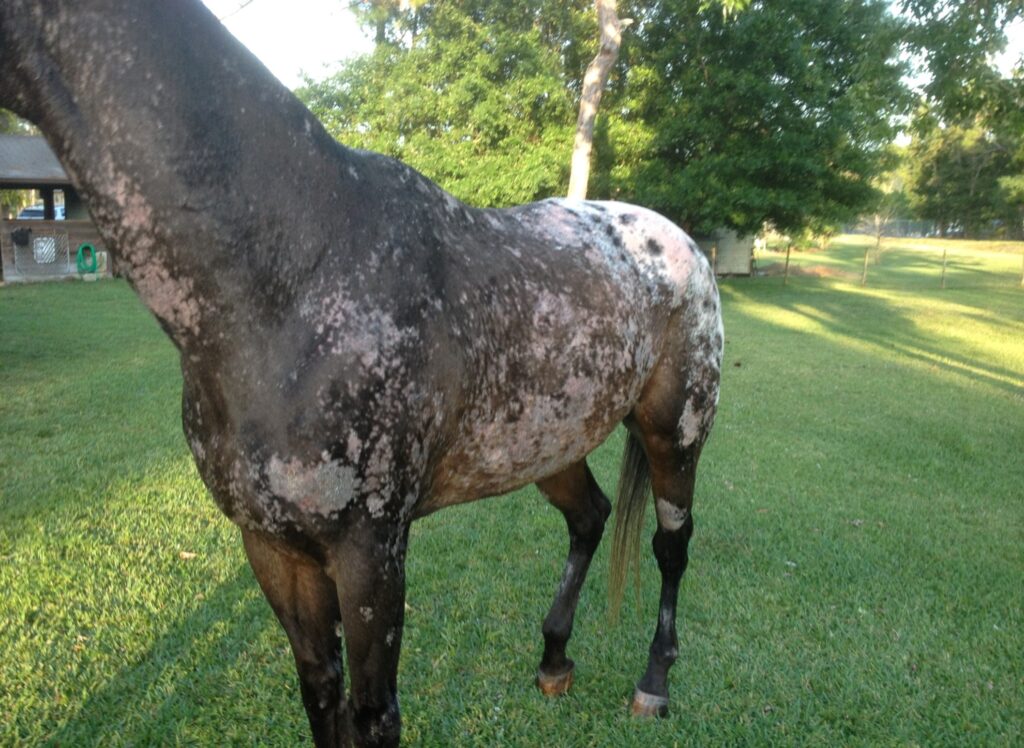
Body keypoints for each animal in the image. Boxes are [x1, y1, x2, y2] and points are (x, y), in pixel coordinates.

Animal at [0, 2, 722, 745]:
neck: (293, 279)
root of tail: (681, 244)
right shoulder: (273, 549)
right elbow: (322, 694)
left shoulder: (370, 553)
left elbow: (373, 715)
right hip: (549, 444)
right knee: (590, 518)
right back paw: (553, 660)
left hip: (675, 431)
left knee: (672, 545)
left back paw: (653, 684)